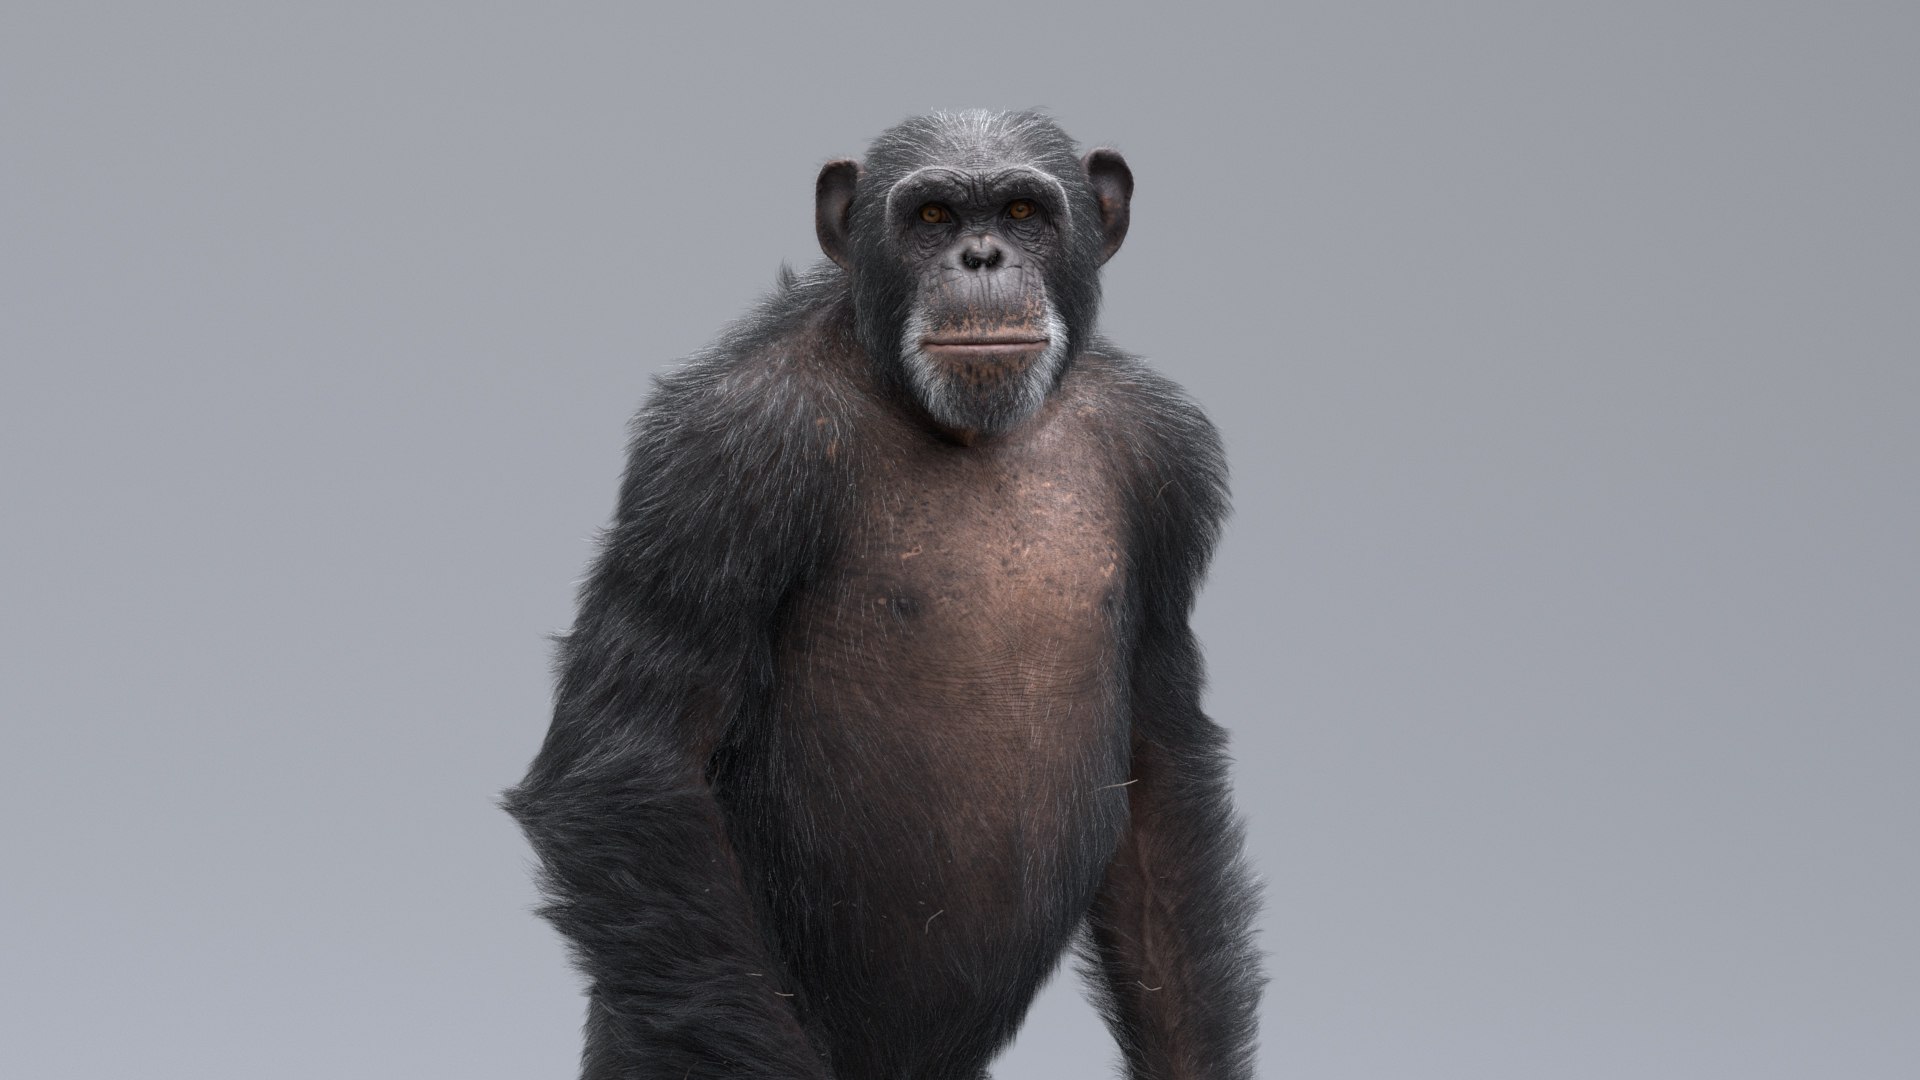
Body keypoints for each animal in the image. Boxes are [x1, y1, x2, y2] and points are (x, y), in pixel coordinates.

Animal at [505, 110, 1262, 1080]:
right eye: (932, 217)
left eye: (1022, 212)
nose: (981, 256)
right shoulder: (723, 456)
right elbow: (634, 759)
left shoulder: (1171, 458)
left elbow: (1159, 770)